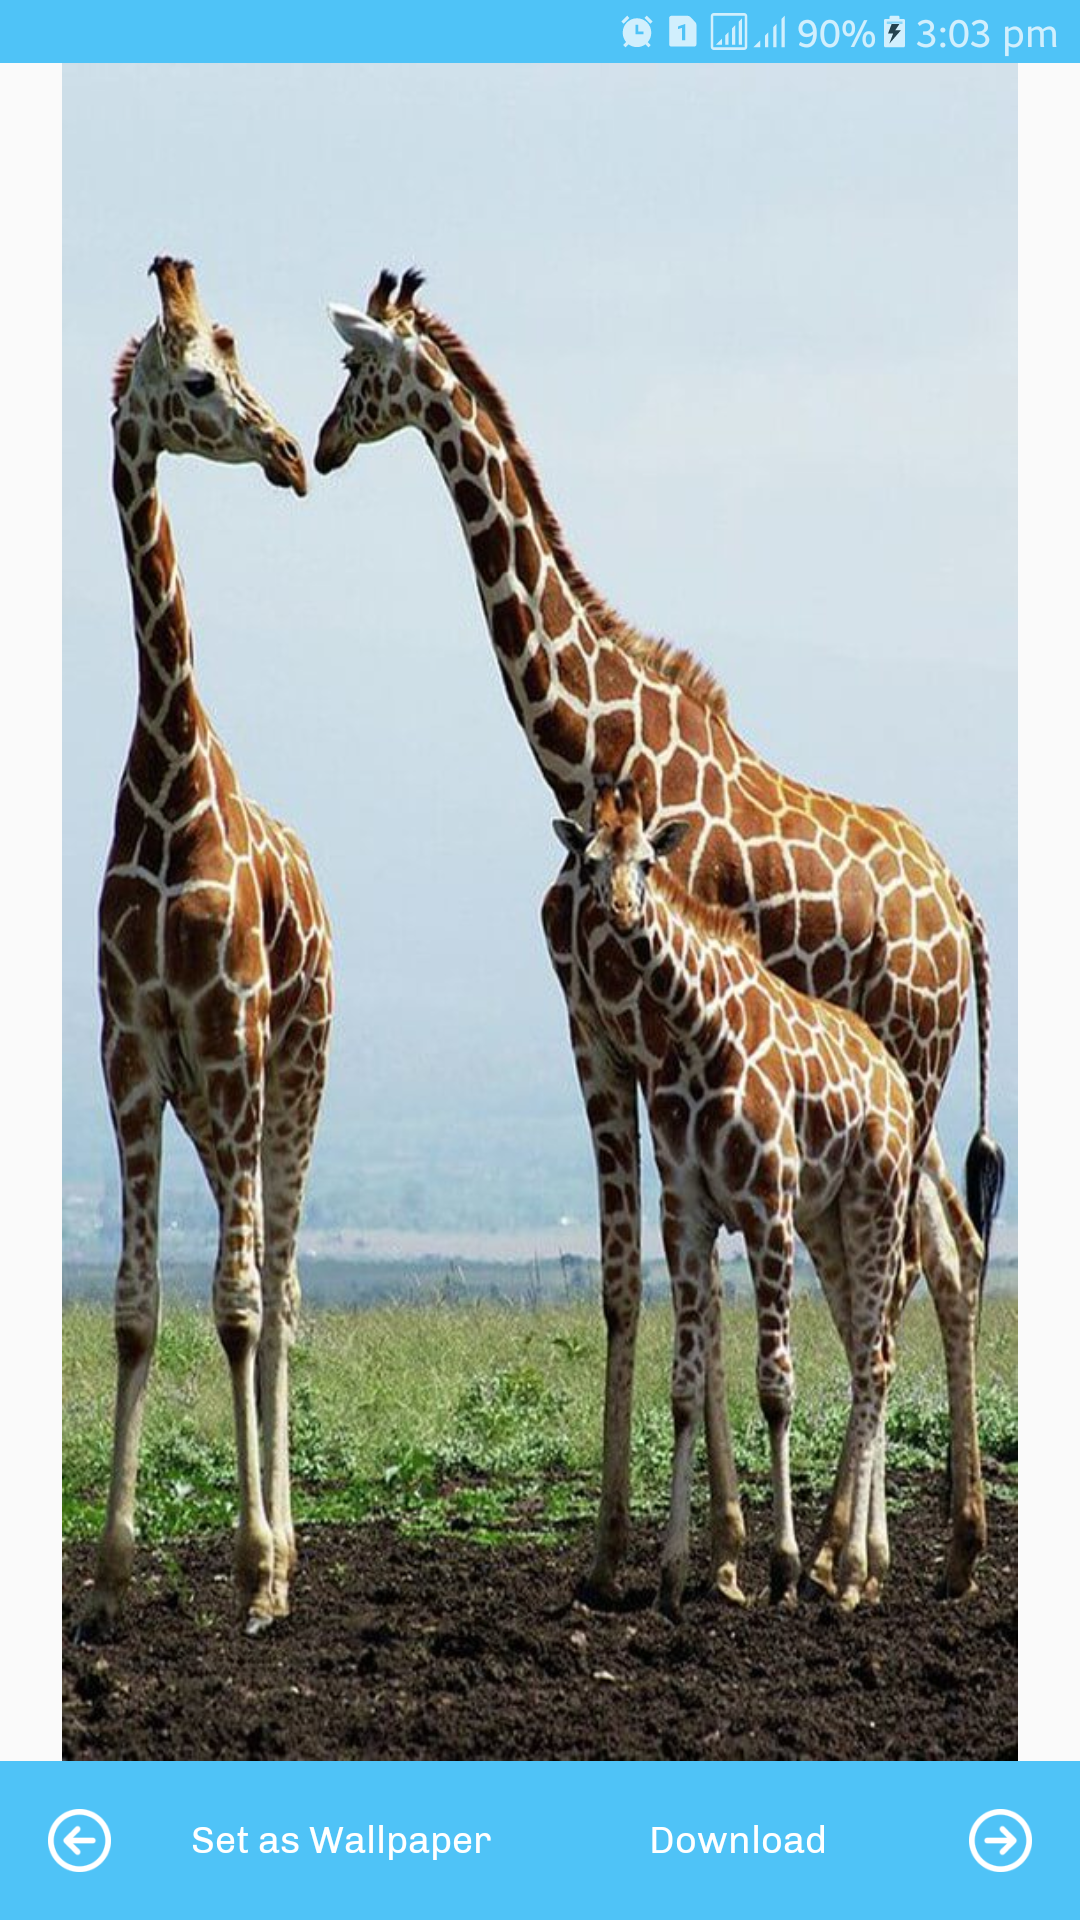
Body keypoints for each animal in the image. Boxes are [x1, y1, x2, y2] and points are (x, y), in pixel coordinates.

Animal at [553, 777, 914, 1616]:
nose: (623, 914)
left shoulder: (766, 1207)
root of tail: (895, 1078)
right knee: (868, 1351)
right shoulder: (686, 1211)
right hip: (830, 1220)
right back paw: (866, 1565)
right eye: (589, 861)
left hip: (874, 1200)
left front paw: (781, 1566)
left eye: (648, 861)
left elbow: (776, 1387)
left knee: (875, 1360)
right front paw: (672, 1574)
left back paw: (849, 1572)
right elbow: (685, 1388)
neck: (698, 1028)